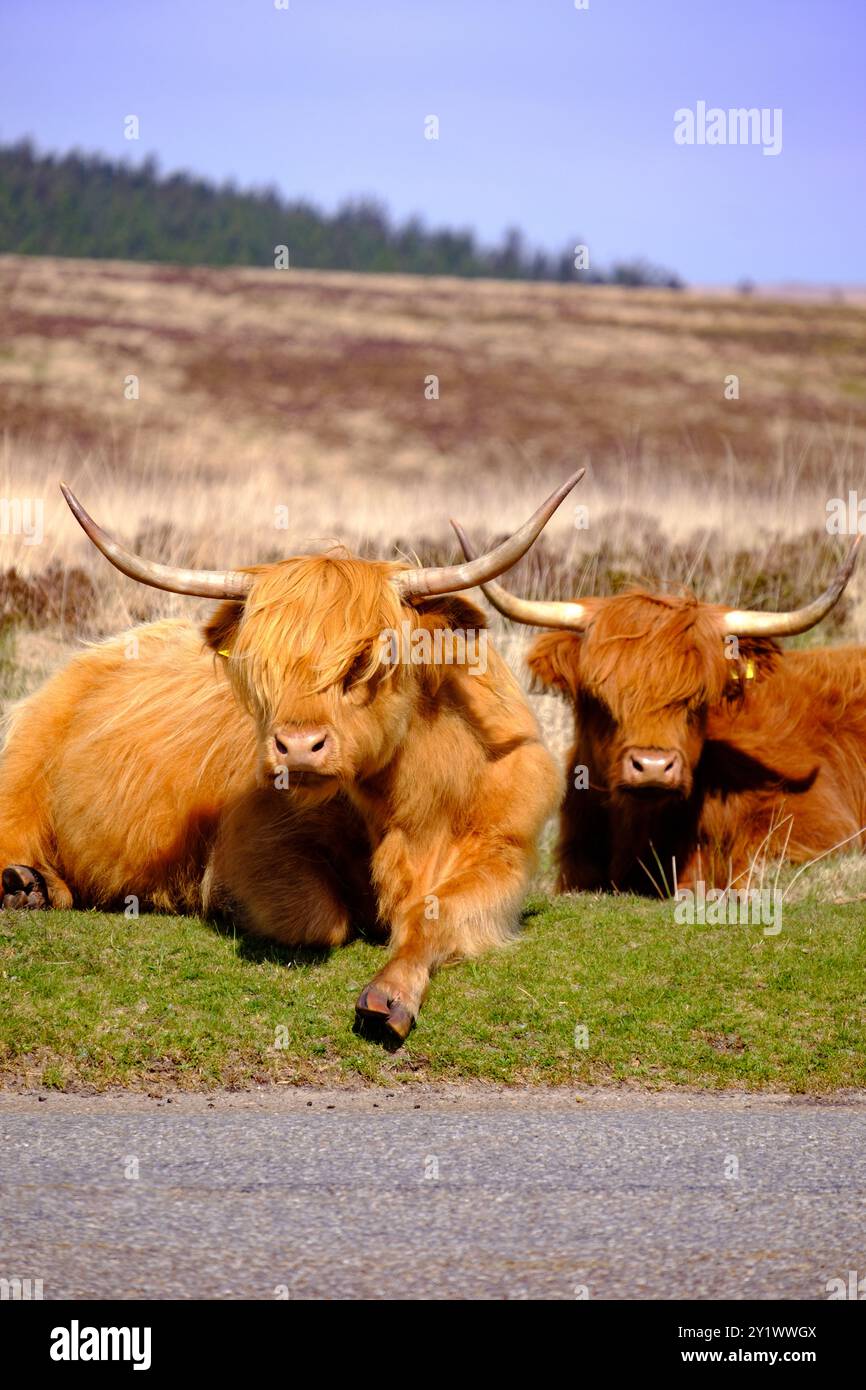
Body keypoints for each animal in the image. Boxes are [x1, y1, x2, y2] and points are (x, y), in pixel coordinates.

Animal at [0, 475, 582, 1038]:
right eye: (261, 667)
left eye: (367, 660)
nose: (298, 747)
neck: (415, 806)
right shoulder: (251, 844)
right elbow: (319, 918)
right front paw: (218, 901)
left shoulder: (504, 853)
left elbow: (436, 915)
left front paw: (389, 996)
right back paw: (30, 884)